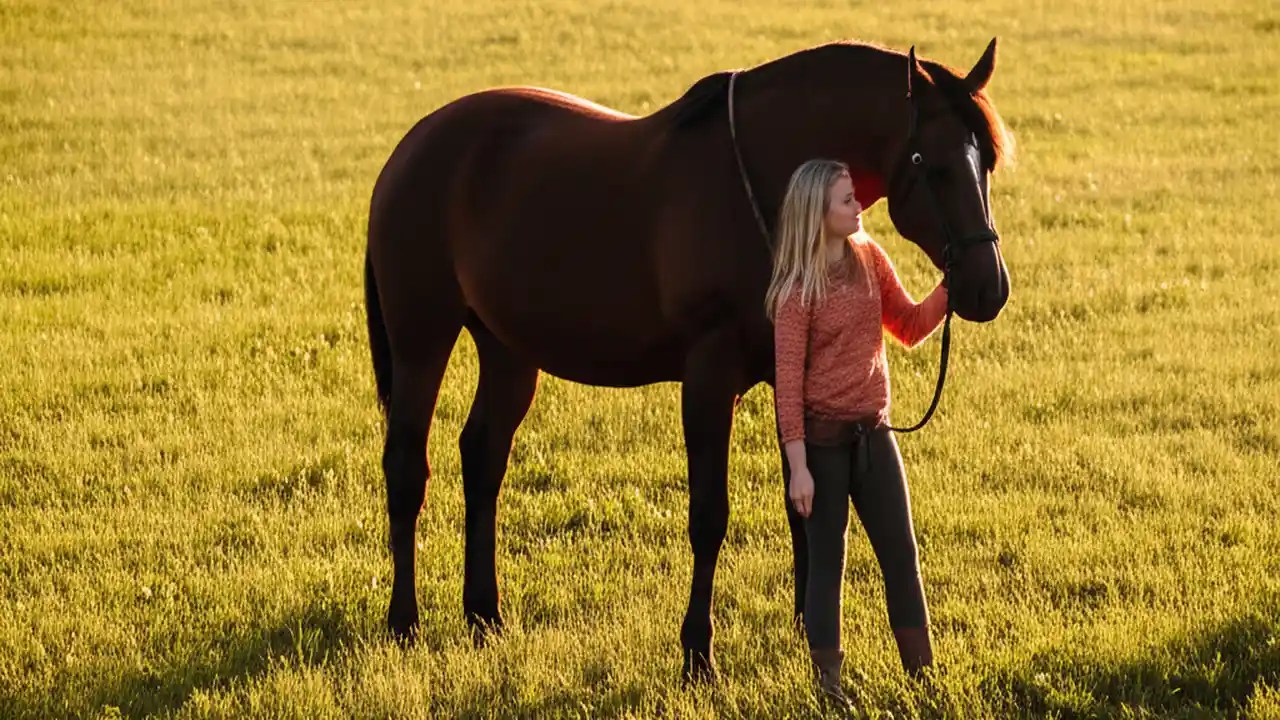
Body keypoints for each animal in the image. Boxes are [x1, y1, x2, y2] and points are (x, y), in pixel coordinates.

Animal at [364, 37, 1013, 681]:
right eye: (931, 162)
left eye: (986, 160)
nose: (987, 289)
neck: (762, 189)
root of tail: (413, 145)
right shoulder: (707, 377)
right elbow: (708, 516)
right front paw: (698, 654)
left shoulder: (788, 372)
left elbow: (801, 503)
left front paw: (805, 631)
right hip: (422, 341)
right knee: (406, 468)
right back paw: (403, 624)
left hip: (508, 352)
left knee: (483, 458)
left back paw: (484, 616)